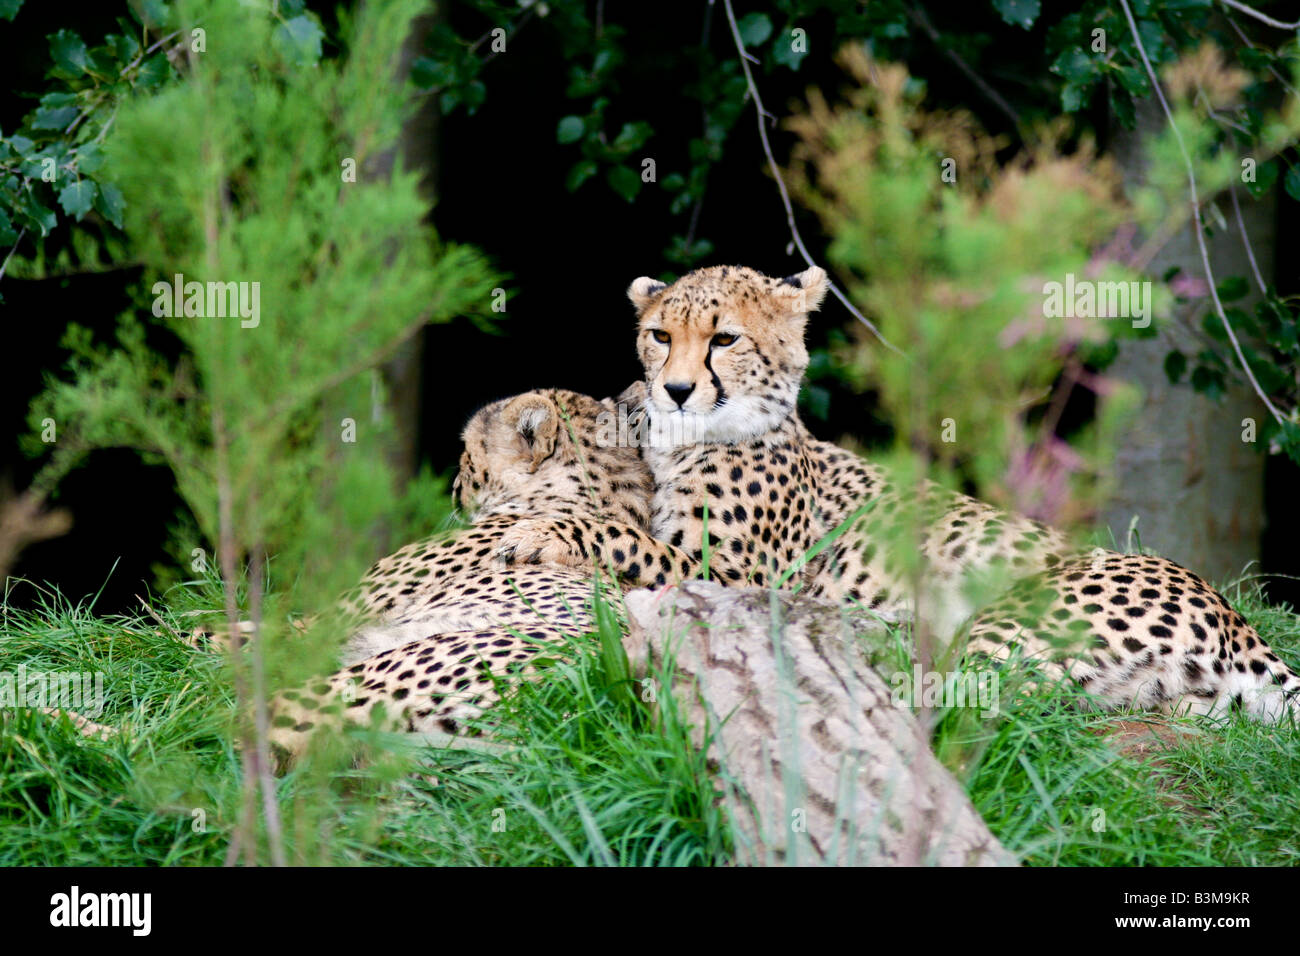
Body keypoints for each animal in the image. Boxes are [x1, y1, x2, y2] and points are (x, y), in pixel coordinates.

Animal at [500, 263, 1300, 723]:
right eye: (660, 335)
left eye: (724, 339)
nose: (674, 390)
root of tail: (1230, 611)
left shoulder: (739, 576)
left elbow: (629, 541)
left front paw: (544, 532)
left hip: (1008, 616)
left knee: (973, 697)